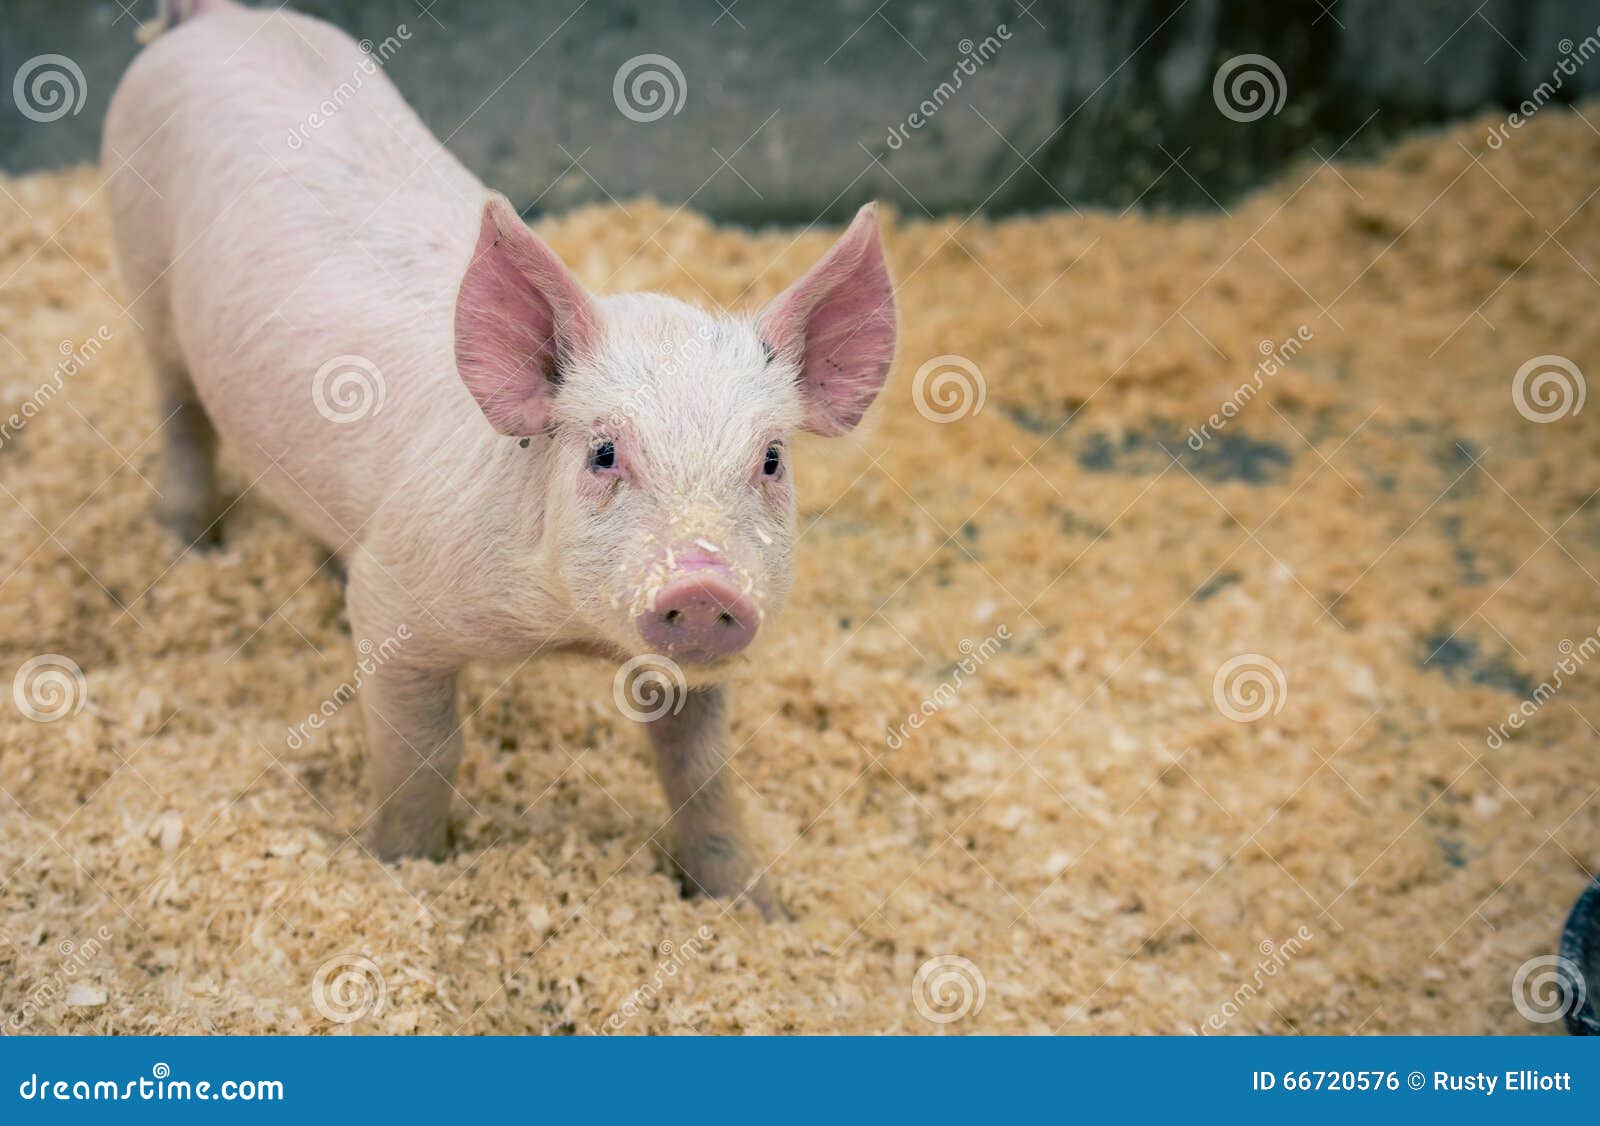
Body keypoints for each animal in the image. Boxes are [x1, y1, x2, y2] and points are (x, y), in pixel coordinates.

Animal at [103, 0, 896, 920]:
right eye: (603, 452)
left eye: (770, 461)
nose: (703, 584)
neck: (560, 635)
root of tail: (219, 19)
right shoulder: (394, 597)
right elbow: (424, 753)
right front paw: (401, 867)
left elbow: (703, 777)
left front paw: (759, 912)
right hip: (142, 267)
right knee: (178, 411)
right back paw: (188, 545)